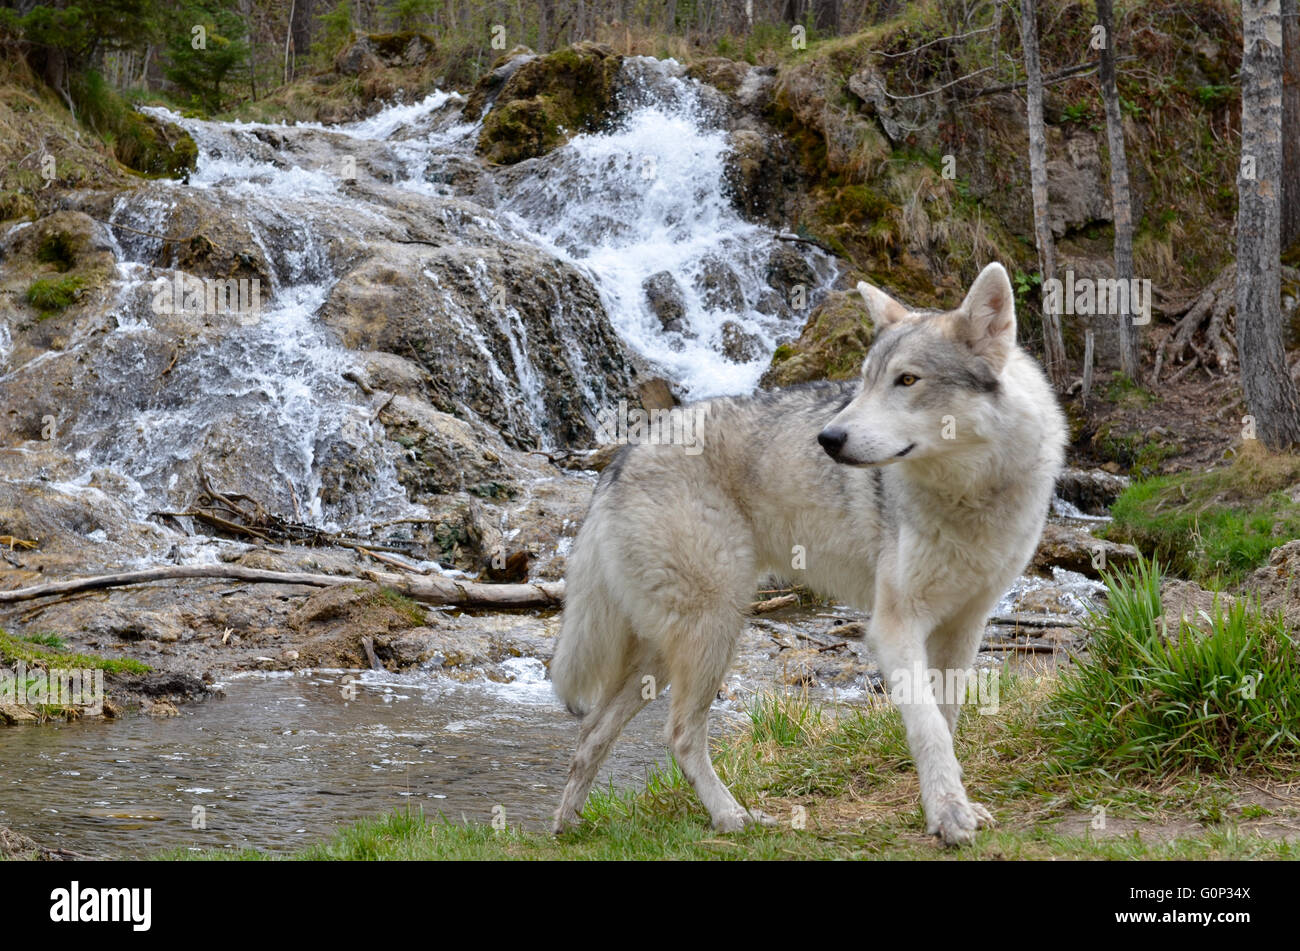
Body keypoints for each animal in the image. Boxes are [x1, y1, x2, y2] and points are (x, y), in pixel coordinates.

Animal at [550, 262, 1066, 845]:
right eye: (865, 381)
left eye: (907, 380)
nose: (828, 438)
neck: (972, 494)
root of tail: (621, 456)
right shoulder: (894, 626)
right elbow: (929, 727)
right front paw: (949, 817)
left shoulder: (964, 627)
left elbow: (947, 721)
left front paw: (955, 805)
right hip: (712, 630)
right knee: (678, 734)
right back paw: (731, 817)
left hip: (665, 651)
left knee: (592, 732)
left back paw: (568, 826)